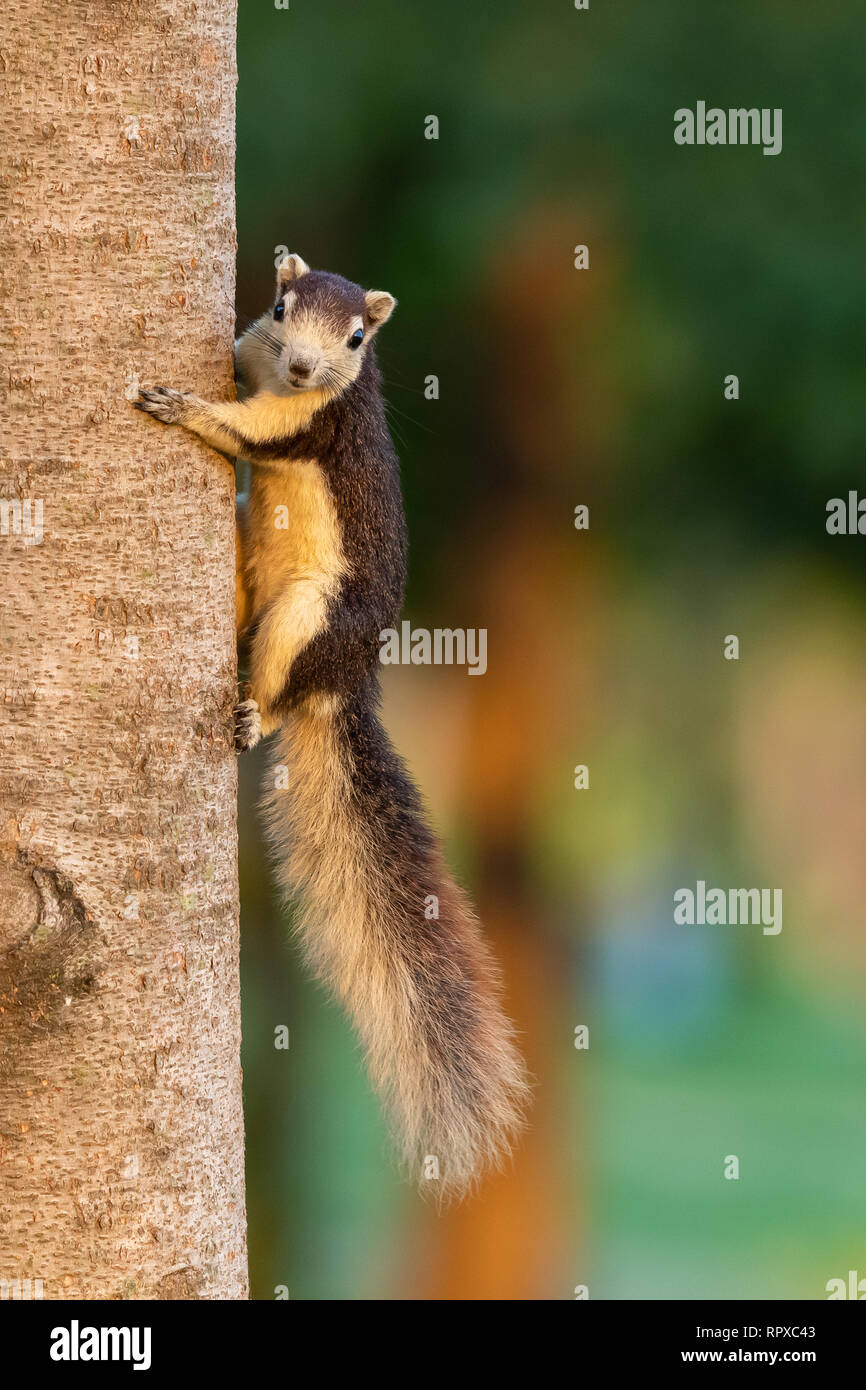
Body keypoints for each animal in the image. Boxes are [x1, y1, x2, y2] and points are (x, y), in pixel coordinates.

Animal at [135, 253, 529, 1196]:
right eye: (282, 308)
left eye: (357, 338)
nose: (307, 366)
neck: (294, 383)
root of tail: (345, 684)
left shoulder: (308, 423)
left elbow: (245, 432)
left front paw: (182, 405)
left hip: (309, 619)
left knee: (279, 687)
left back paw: (254, 713)